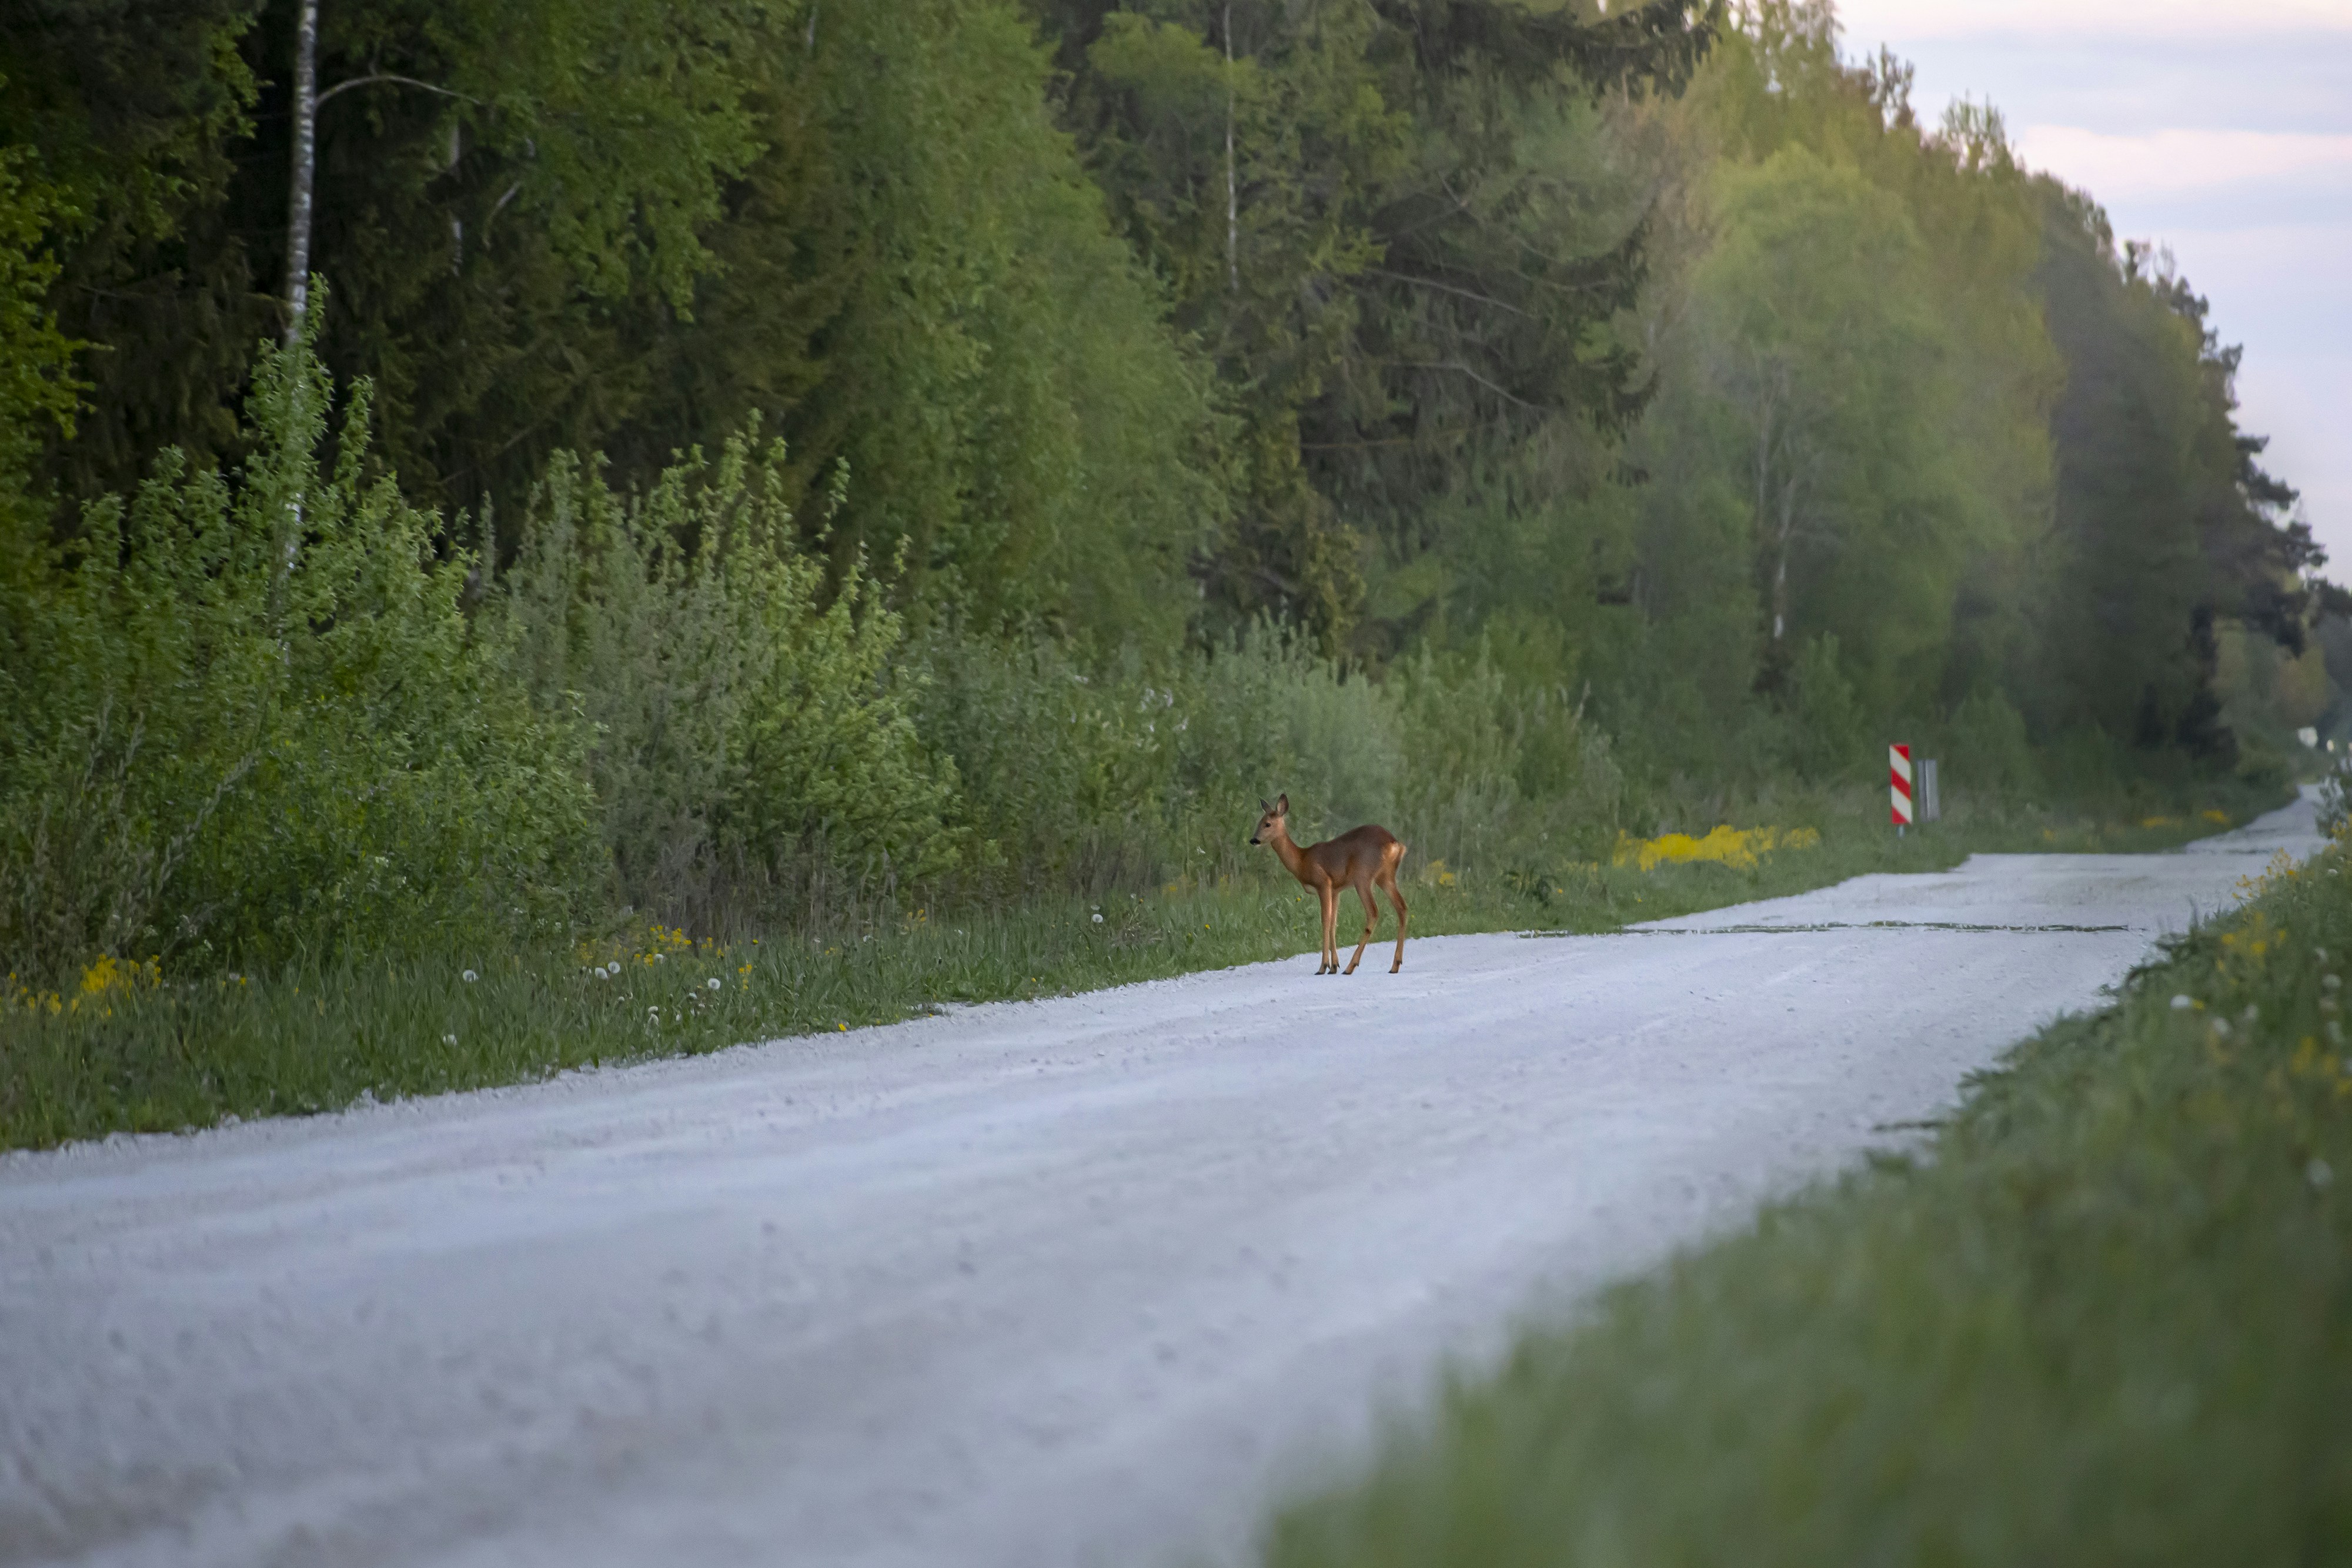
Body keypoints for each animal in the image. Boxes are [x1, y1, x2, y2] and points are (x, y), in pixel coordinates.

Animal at [1249, 793, 1409, 975]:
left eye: (1268, 824)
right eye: (1259, 822)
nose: (1253, 840)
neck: (1302, 860)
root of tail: (1395, 844)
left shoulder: (1323, 883)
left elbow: (1325, 922)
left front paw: (1323, 966)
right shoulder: (1336, 889)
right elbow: (1333, 923)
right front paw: (1334, 966)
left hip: (1363, 877)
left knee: (1373, 912)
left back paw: (1351, 966)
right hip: (1386, 877)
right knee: (1402, 908)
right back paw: (1395, 965)